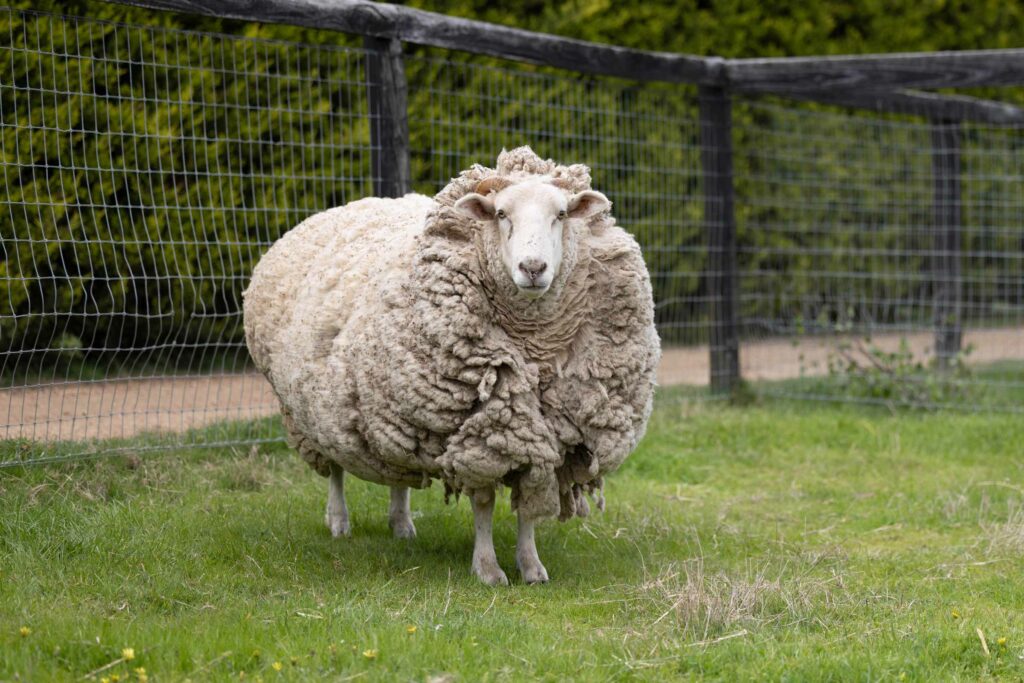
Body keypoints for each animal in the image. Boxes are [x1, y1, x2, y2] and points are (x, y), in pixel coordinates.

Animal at [243, 146, 660, 585]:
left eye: (561, 214)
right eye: (501, 214)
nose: (533, 268)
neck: (533, 344)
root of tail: (344, 206)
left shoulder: (542, 435)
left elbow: (530, 506)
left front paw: (531, 566)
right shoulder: (482, 430)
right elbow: (484, 503)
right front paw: (488, 569)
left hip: (397, 411)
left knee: (397, 470)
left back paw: (402, 524)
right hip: (312, 409)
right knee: (336, 468)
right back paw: (339, 521)